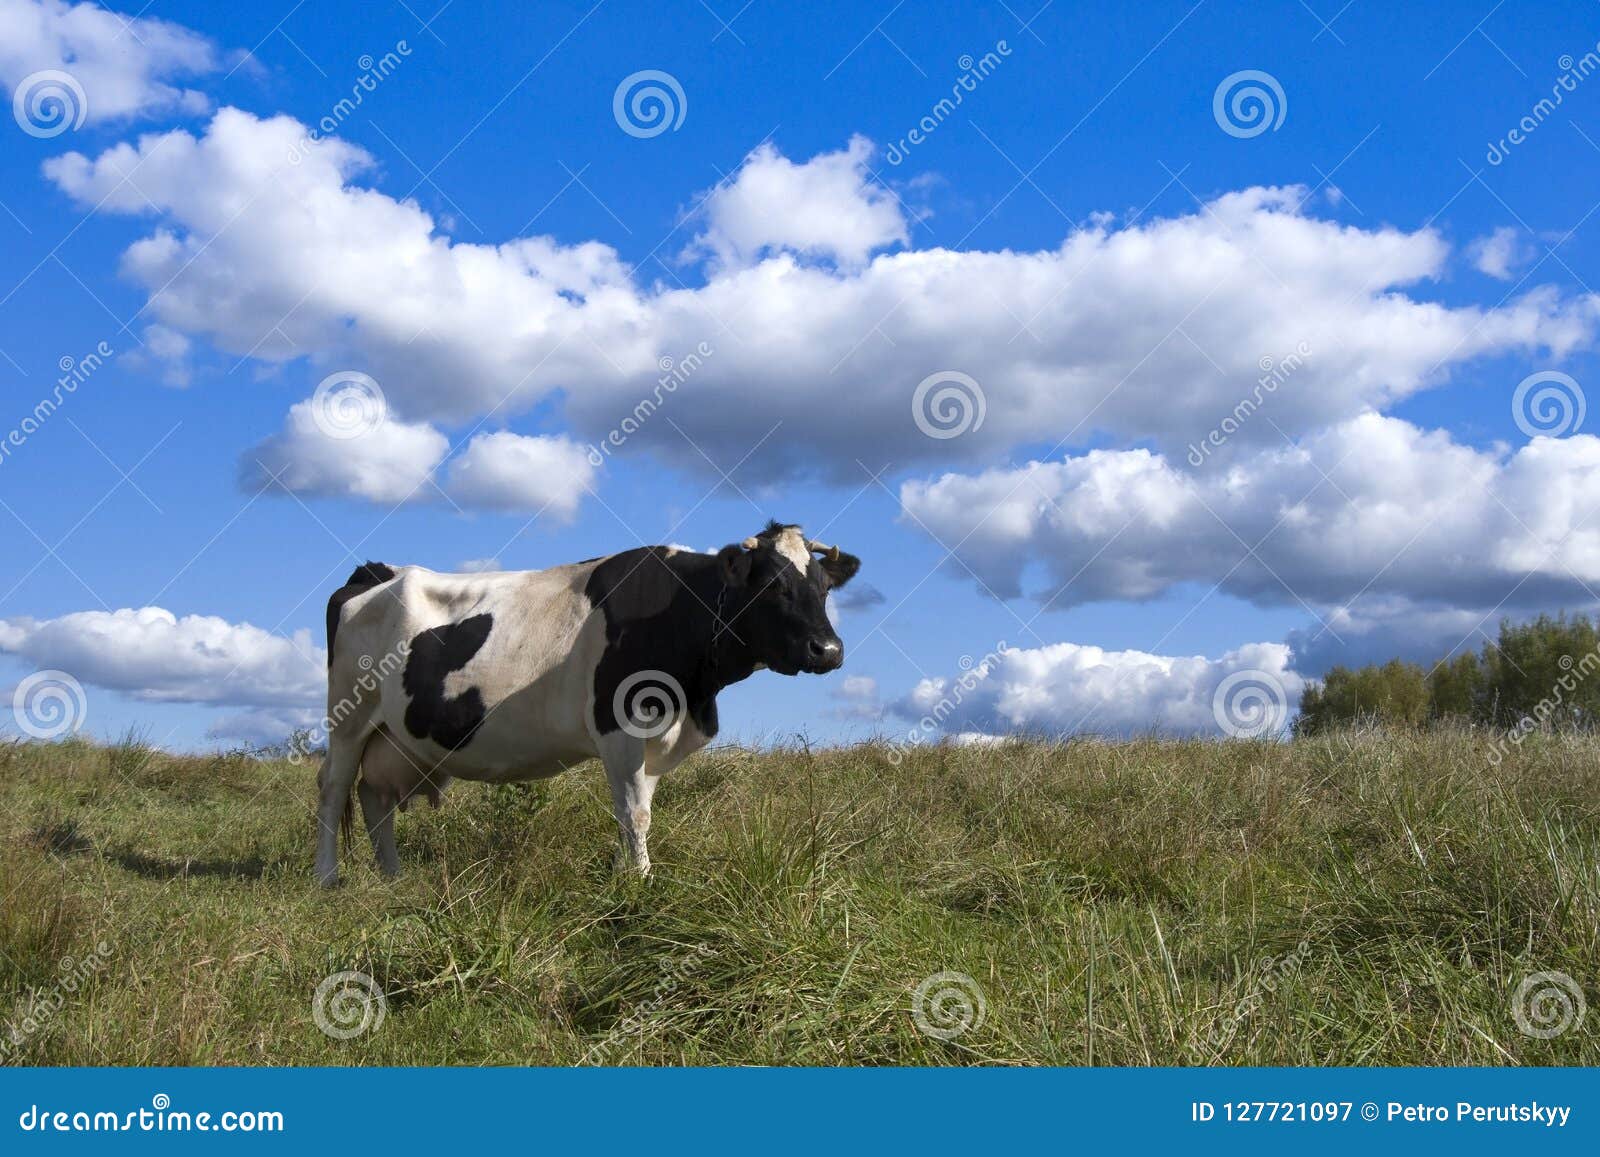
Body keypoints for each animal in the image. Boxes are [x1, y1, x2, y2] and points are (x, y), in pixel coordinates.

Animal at [313, 522, 861, 885]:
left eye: (823, 587)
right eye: (771, 585)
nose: (829, 650)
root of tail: (376, 572)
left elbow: (639, 809)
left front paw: (625, 873)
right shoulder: (620, 727)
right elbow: (633, 813)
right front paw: (642, 882)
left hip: (394, 738)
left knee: (374, 797)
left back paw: (394, 879)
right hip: (347, 717)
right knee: (334, 789)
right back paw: (327, 879)